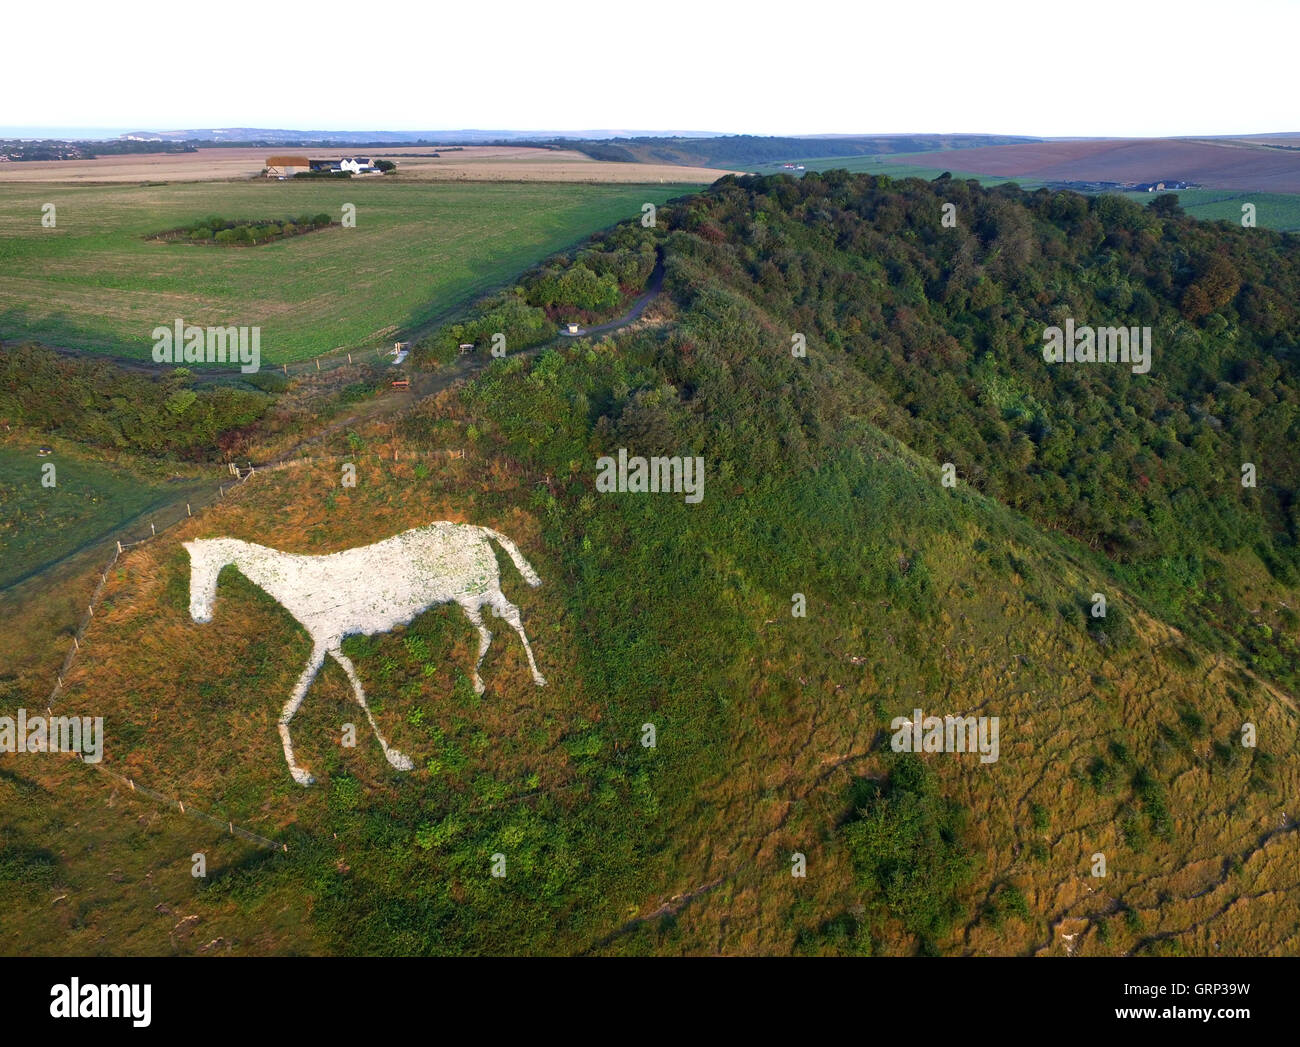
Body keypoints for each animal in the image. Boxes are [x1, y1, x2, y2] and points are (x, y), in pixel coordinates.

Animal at [183, 522, 546, 785]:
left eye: (201, 568)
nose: (198, 615)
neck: (296, 586)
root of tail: (480, 530)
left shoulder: (329, 643)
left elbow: (357, 694)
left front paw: (397, 757)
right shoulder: (324, 645)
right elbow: (289, 709)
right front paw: (302, 775)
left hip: (478, 590)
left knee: (510, 617)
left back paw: (536, 677)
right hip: (471, 597)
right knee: (492, 628)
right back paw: (482, 683)